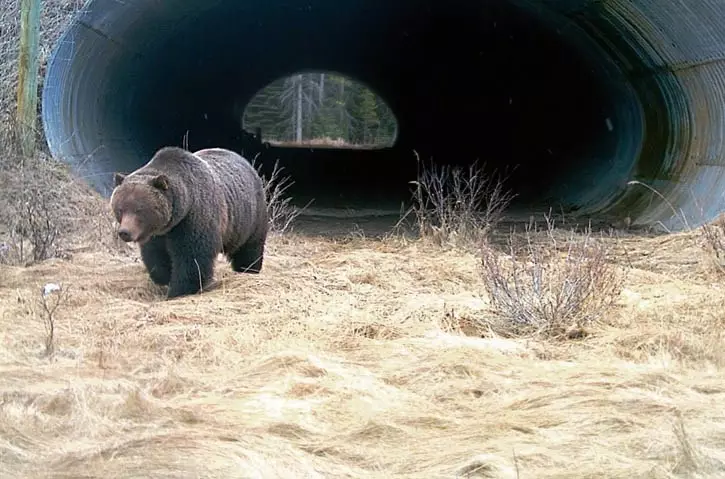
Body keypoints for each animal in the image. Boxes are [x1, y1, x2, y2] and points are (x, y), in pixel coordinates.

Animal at [107, 145, 266, 300]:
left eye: (139, 210)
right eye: (120, 209)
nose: (124, 232)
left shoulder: (193, 220)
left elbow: (191, 258)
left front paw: (180, 289)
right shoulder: (156, 234)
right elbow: (156, 256)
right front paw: (164, 277)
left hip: (249, 217)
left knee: (250, 247)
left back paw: (248, 269)